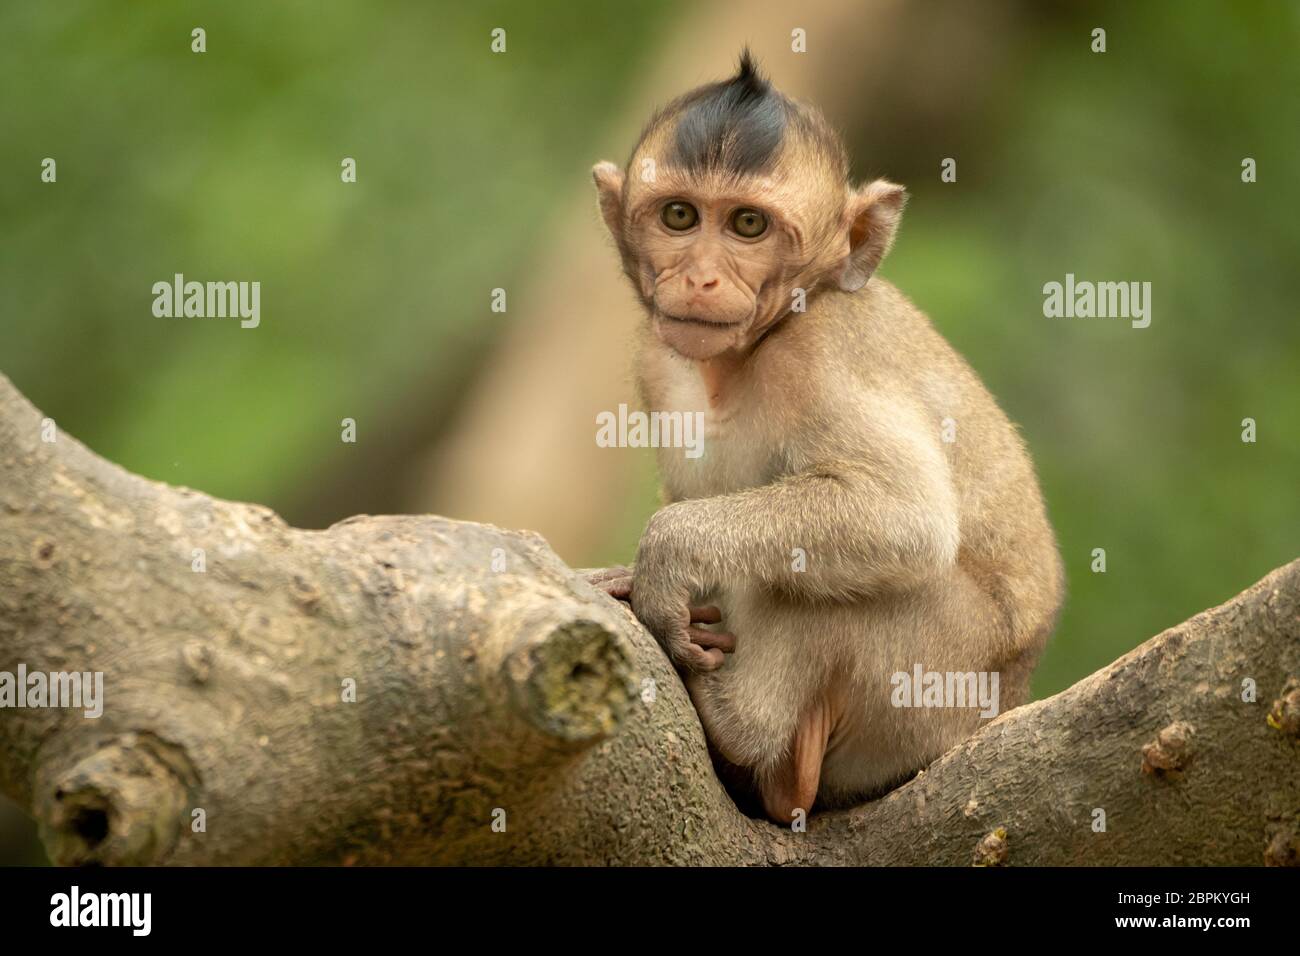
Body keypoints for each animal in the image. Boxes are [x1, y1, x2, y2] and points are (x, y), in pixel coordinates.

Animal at [586, 51, 1064, 824]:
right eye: (680, 216)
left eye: (748, 224)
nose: (700, 277)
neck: (744, 357)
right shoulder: (657, 362)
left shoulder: (820, 352)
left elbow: (903, 515)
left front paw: (663, 556)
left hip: (935, 681)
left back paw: (738, 727)